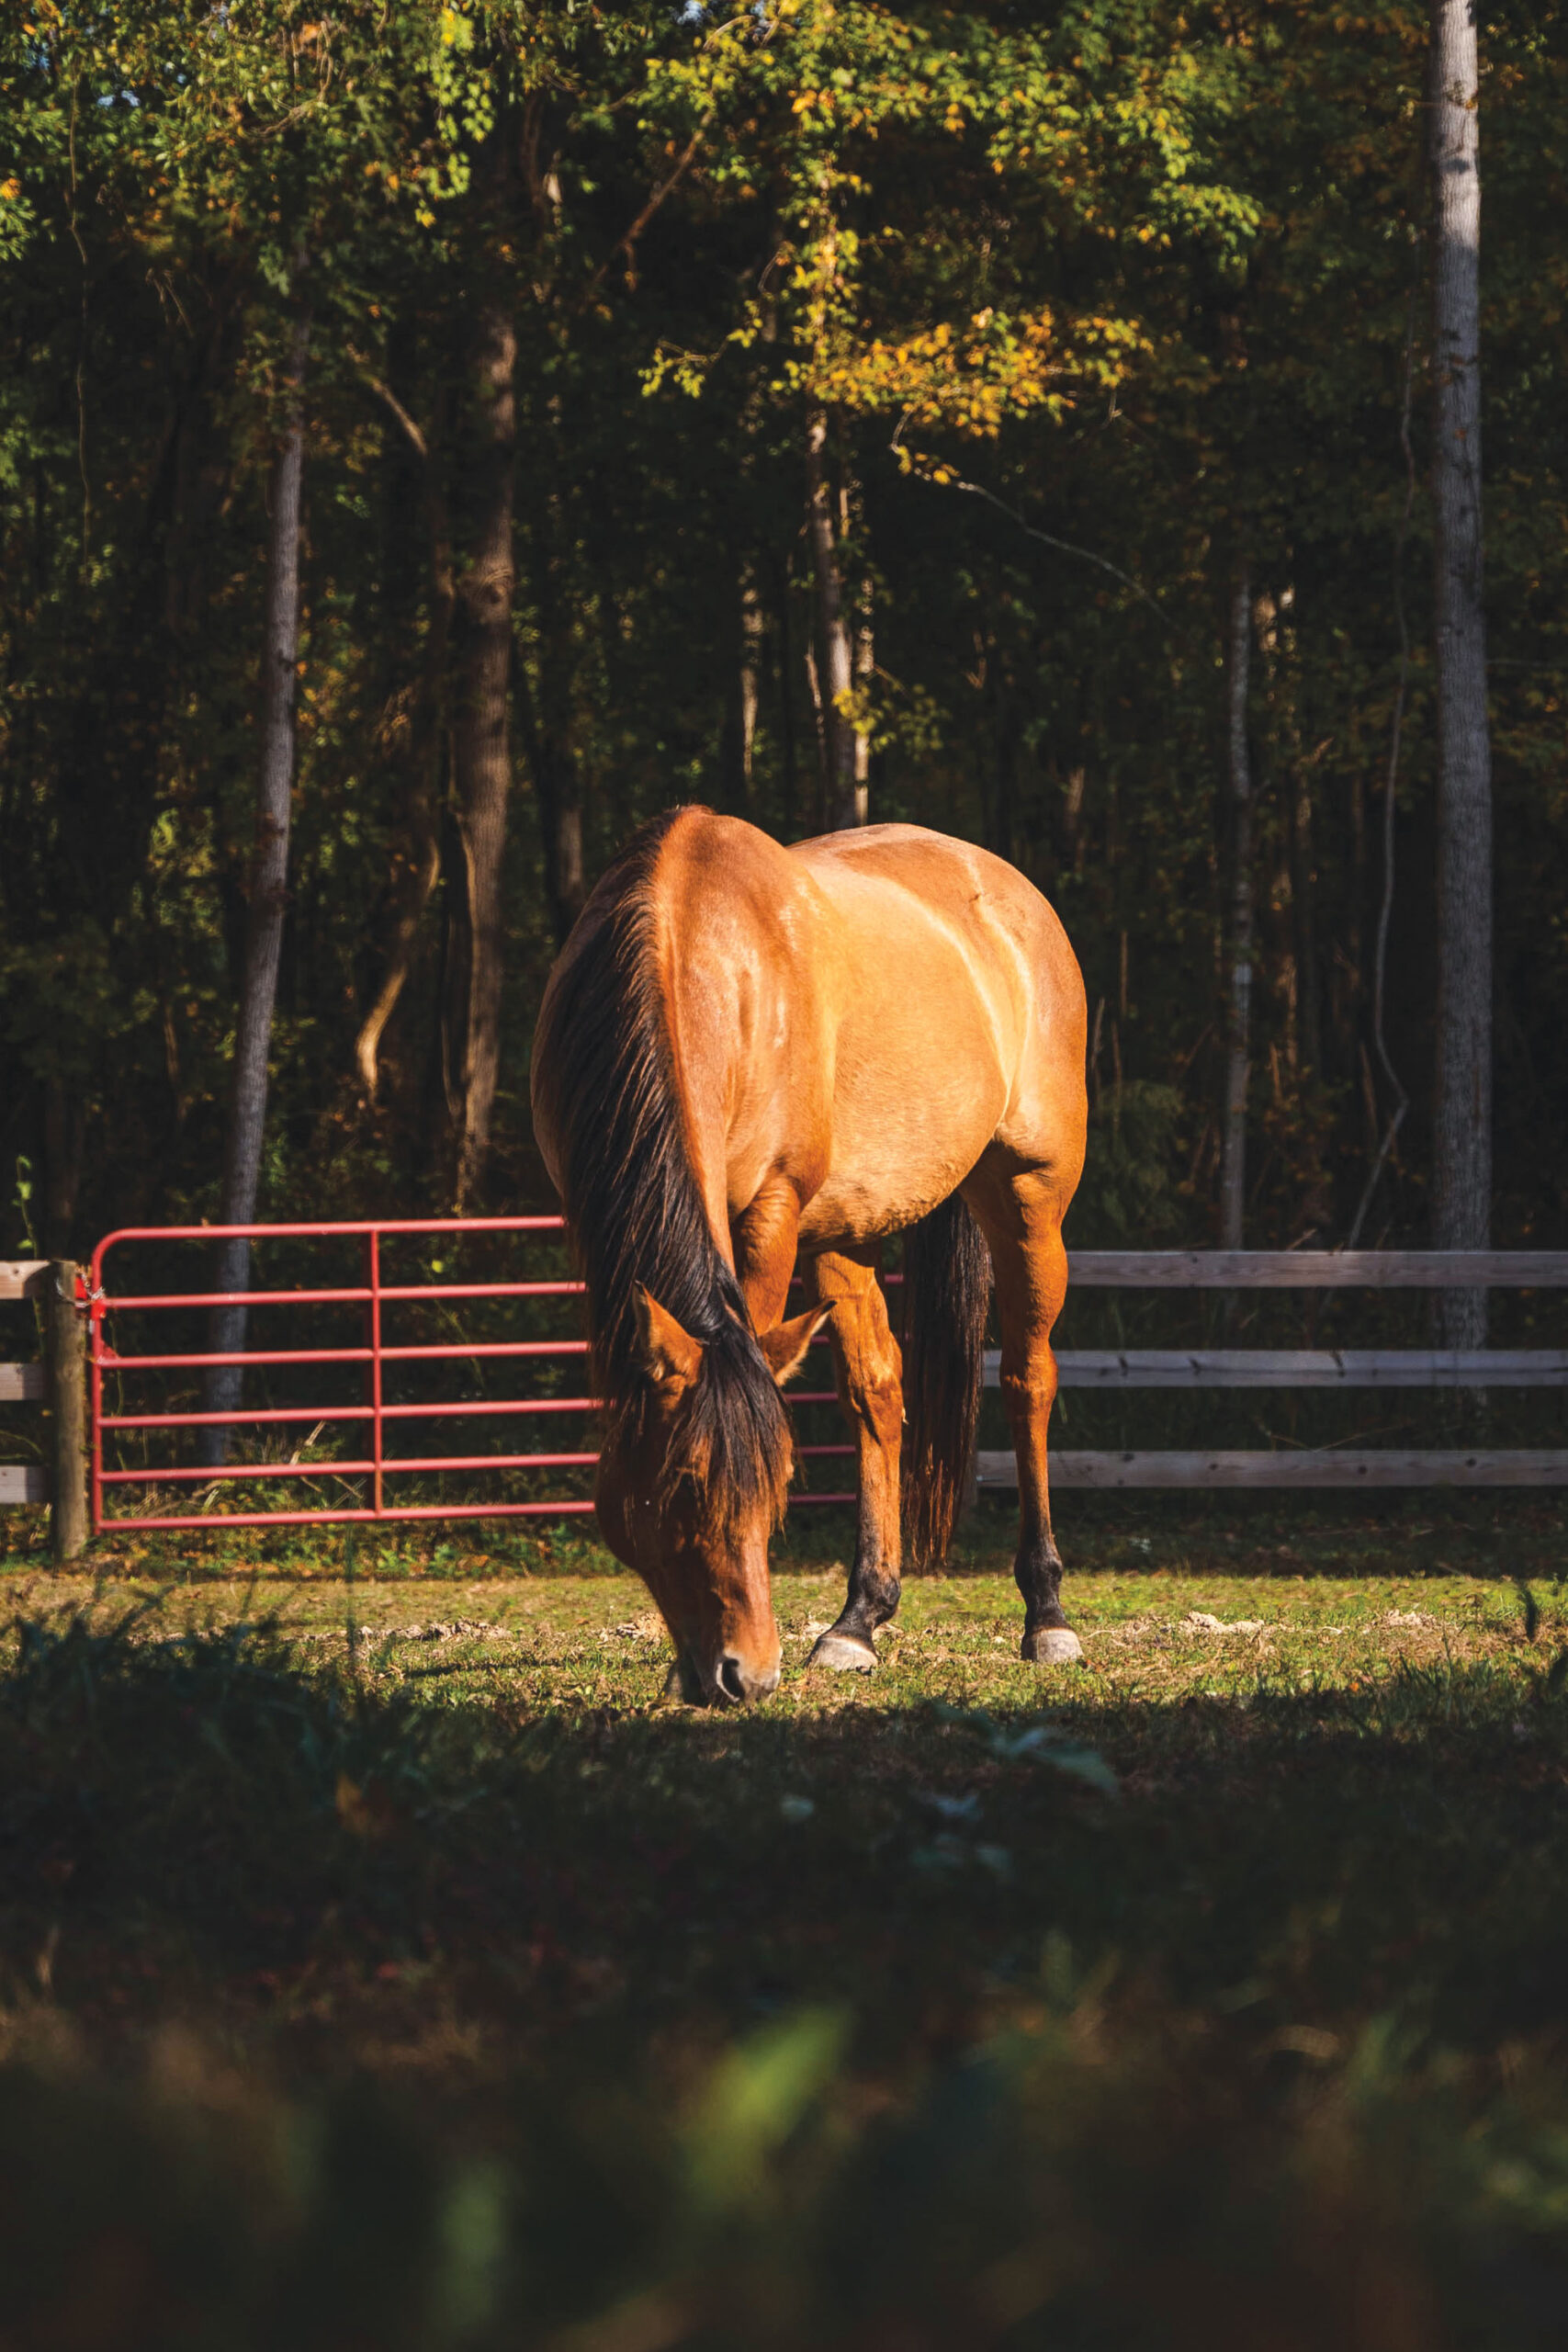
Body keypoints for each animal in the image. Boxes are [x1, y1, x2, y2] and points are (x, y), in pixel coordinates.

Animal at [530, 806, 1087, 1705]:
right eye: (682, 1484)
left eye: (778, 1484)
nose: (743, 1674)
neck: (693, 949)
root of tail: (1008, 890)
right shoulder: (594, 1218)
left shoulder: (770, 1211)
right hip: (847, 1230)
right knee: (877, 1391)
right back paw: (858, 1620)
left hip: (1030, 1195)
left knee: (1025, 1380)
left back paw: (1047, 1614)